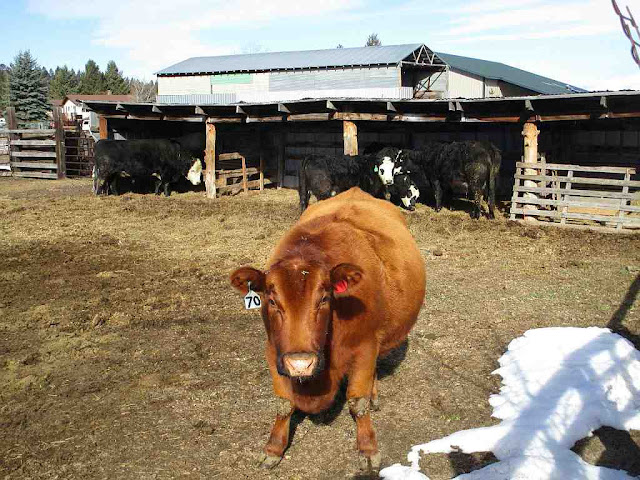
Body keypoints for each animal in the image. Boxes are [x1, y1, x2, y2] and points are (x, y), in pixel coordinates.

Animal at [230, 187, 426, 472]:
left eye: (324, 299)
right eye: (272, 300)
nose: (301, 364)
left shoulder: (365, 346)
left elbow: (358, 402)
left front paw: (368, 449)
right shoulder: (273, 351)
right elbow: (284, 403)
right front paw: (273, 447)